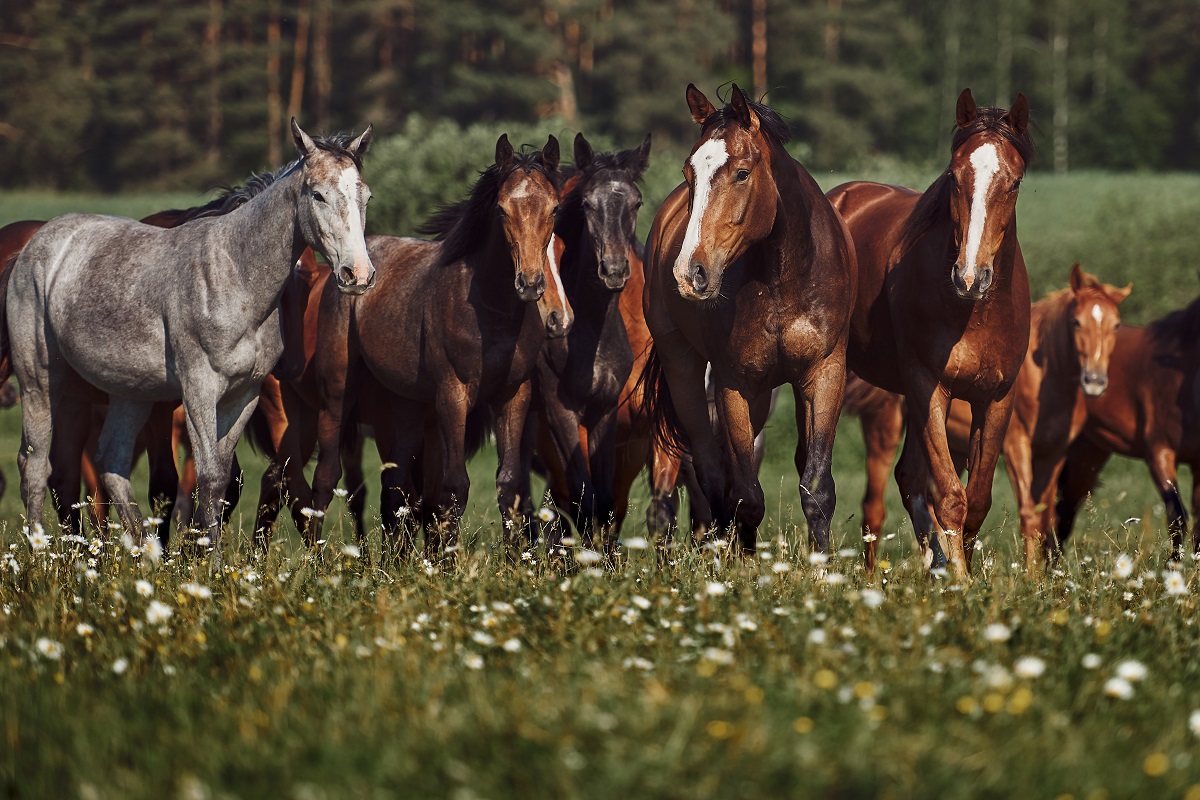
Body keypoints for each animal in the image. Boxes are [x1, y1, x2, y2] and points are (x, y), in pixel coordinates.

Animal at [8, 119, 374, 552]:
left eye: (365, 196)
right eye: (317, 194)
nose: (358, 274)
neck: (234, 274)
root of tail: (35, 246)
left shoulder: (243, 395)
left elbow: (220, 482)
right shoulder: (199, 389)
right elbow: (210, 477)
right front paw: (205, 559)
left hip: (129, 392)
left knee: (110, 462)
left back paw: (148, 554)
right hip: (40, 382)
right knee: (36, 466)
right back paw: (39, 553)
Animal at [303, 134, 566, 554]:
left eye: (554, 208)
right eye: (502, 209)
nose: (529, 283)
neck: (491, 311)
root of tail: (349, 271)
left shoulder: (513, 396)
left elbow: (509, 485)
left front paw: (516, 560)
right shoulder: (453, 395)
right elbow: (455, 486)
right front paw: (449, 560)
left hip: (406, 406)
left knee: (396, 487)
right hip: (337, 393)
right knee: (327, 478)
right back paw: (316, 558)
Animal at [640, 84, 857, 554]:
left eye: (741, 173)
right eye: (689, 173)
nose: (689, 273)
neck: (782, 279)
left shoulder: (825, 372)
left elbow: (817, 488)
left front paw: (822, 563)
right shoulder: (732, 383)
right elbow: (745, 496)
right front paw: (742, 561)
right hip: (685, 371)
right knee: (709, 471)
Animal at [827, 88, 1033, 579]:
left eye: (1015, 181)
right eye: (954, 176)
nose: (969, 277)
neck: (974, 313)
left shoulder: (995, 399)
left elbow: (976, 500)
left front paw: (956, 570)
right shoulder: (930, 387)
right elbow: (951, 498)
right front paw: (960, 581)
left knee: (908, 478)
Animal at [844, 264, 1129, 570]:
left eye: (1116, 325)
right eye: (1076, 322)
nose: (1095, 381)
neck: (1045, 380)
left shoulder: (1053, 455)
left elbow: (1045, 517)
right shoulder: (1017, 447)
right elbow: (1029, 514)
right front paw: (1031, 574)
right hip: (885, 427)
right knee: (874, 507)